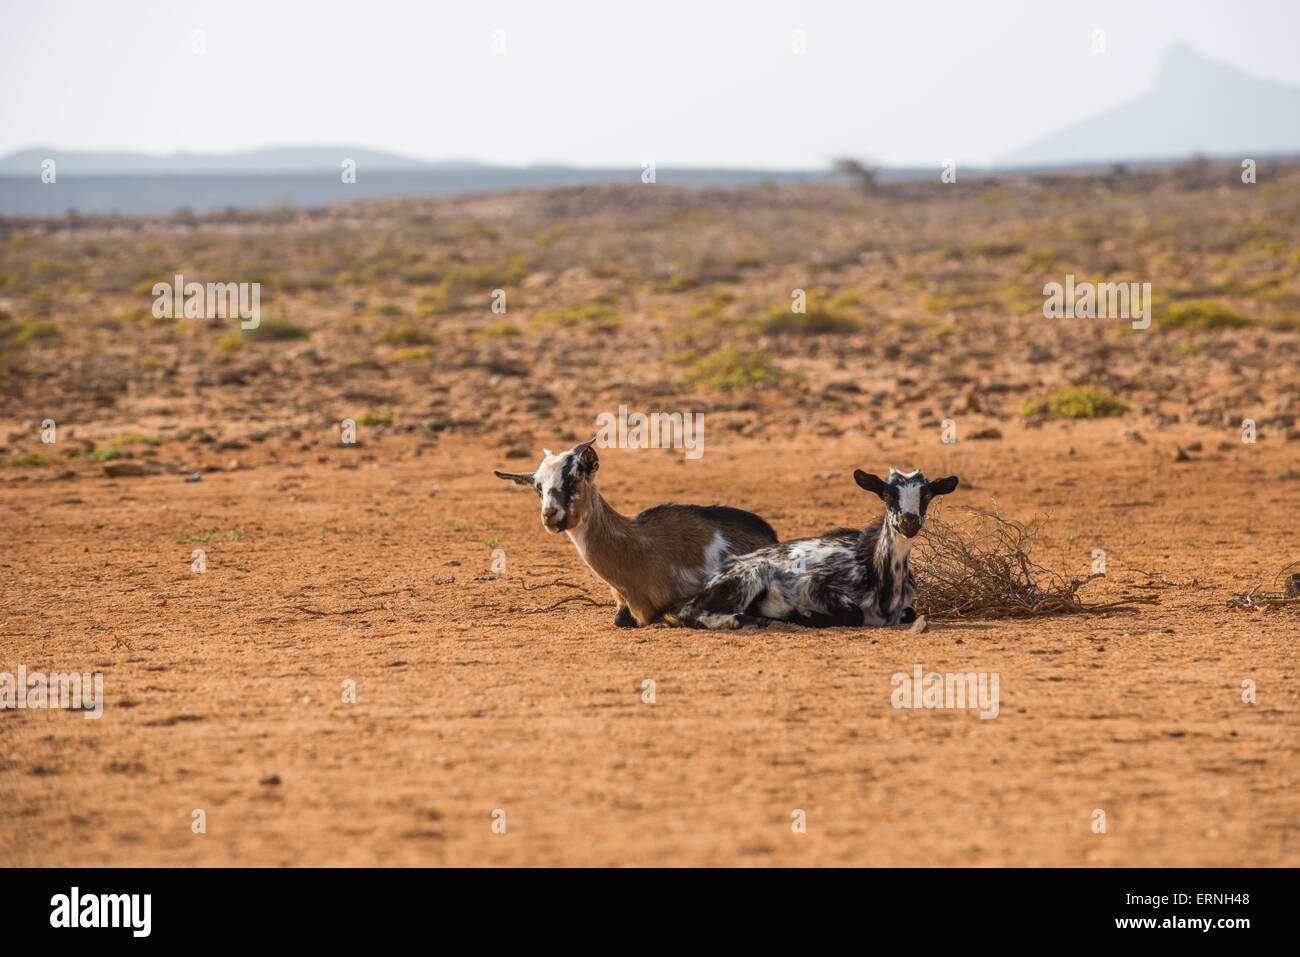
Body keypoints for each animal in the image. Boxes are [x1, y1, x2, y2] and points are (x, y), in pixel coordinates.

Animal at [674, 468, 959, 630]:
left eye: (926, 495)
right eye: (887, 494)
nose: (909, 521)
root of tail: (715, 575)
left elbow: (911, 613)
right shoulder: (814, 586)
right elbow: (854, 614)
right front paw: (802, 615)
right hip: (748, 576)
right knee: (689, 614)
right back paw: (743, 620)